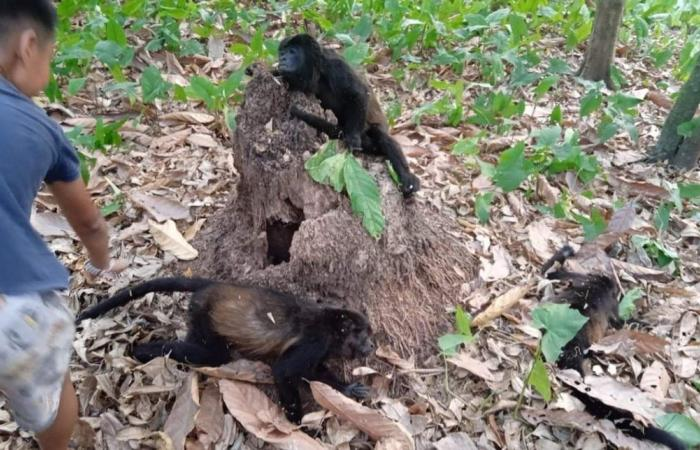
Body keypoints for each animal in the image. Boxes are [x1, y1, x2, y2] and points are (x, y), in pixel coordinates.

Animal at [75, 277, 375, 423]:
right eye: (365, 335)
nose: (372, 345)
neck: (333, 327)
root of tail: (213, 286)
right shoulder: (315, 342)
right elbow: (284, 370)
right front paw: (295, 423)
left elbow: (311, 373)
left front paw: (346, 388)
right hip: (203, 312)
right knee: (212, 354)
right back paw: (143, 350)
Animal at [273, 33, 420, 198]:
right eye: (282, 52)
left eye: (292, 51)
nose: (282, 58)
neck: (315, 70)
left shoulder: (334, 65)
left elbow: (358, 93)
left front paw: (353, 138)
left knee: (383, 137)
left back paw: (408, 178)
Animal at [541, 246, 688, 450]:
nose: (616, 286)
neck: (599, 285)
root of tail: (569, 350)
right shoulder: (608, 301)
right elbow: (619, 322)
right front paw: (637, 321)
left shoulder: (584, 278)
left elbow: (549, 273)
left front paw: (562, 257)